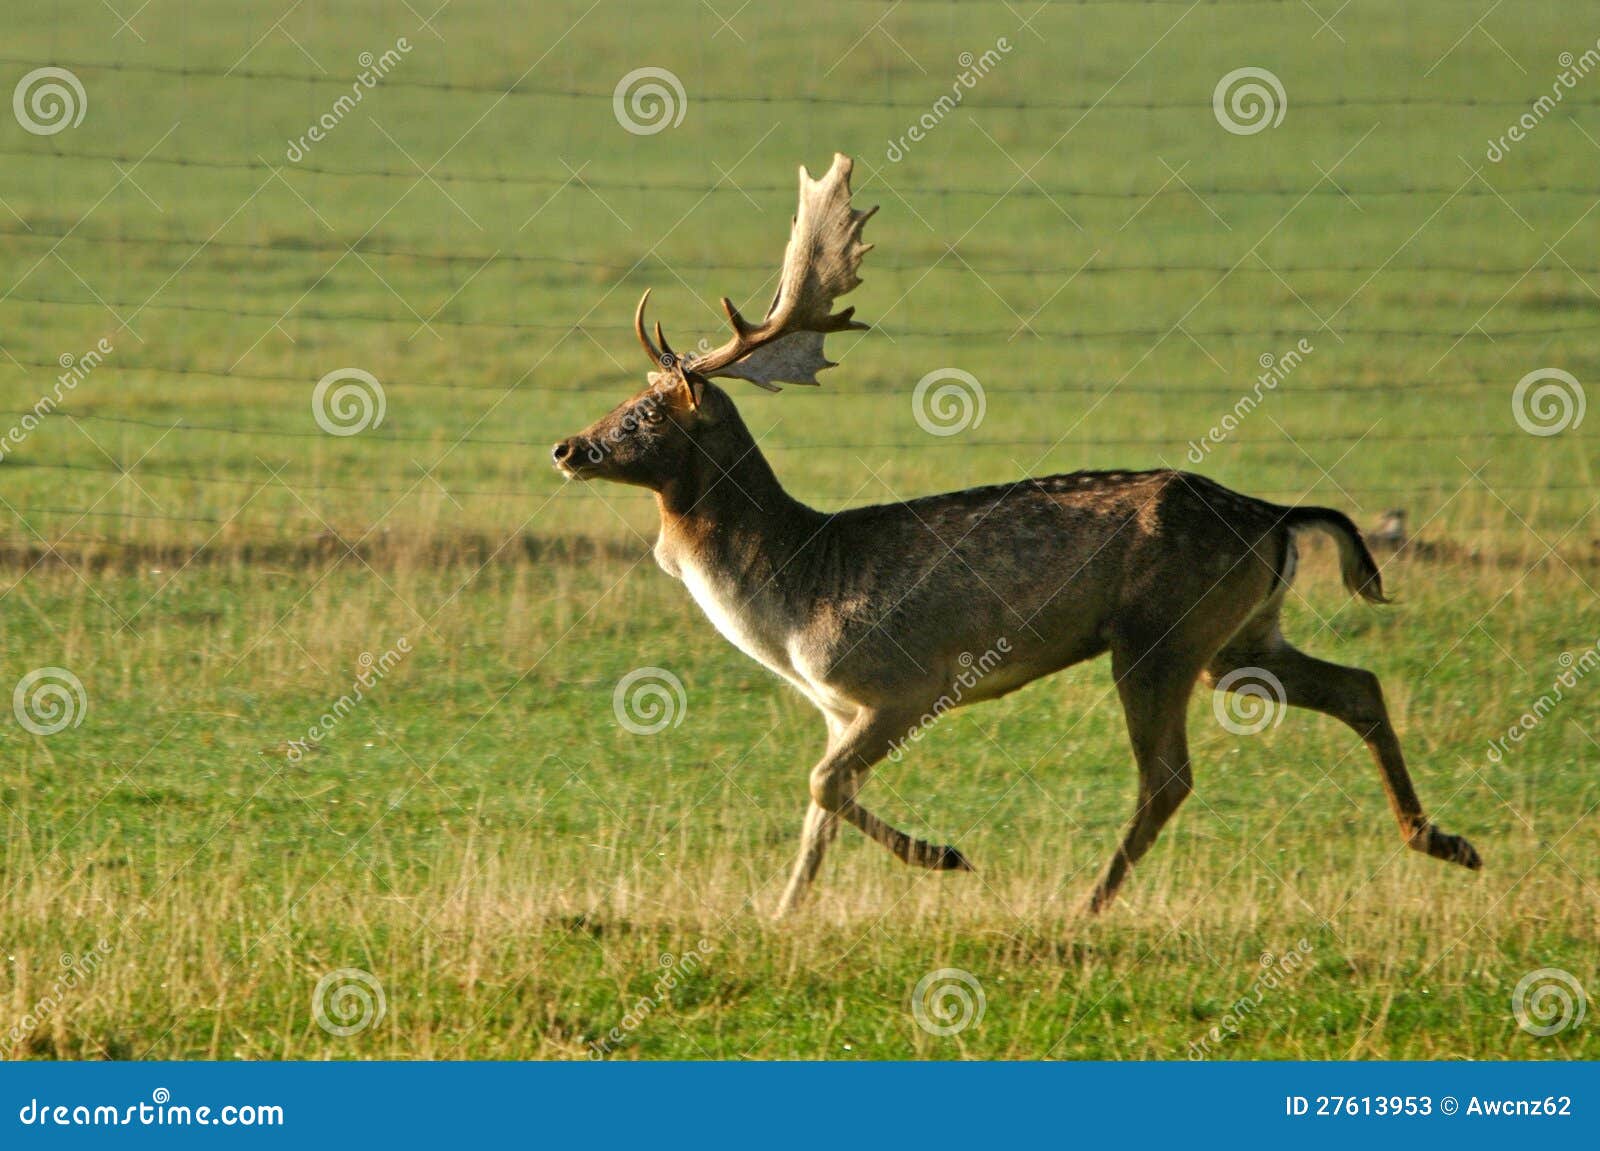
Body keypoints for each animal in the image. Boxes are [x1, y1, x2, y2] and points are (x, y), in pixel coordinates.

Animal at [552, 153, 1482, 916]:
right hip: (1240, 634)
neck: (793, 606)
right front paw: (783, 914)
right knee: (1359, 685)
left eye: (641, 414)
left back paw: (1088, 903)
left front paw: (945, 856)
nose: (567, 447)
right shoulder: (833, 708)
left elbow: (821, 786)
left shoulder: (900, 683)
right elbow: (816, 818)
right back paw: (1445, 840)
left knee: (1168, 775)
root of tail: (1276, 515)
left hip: (1159, 635)